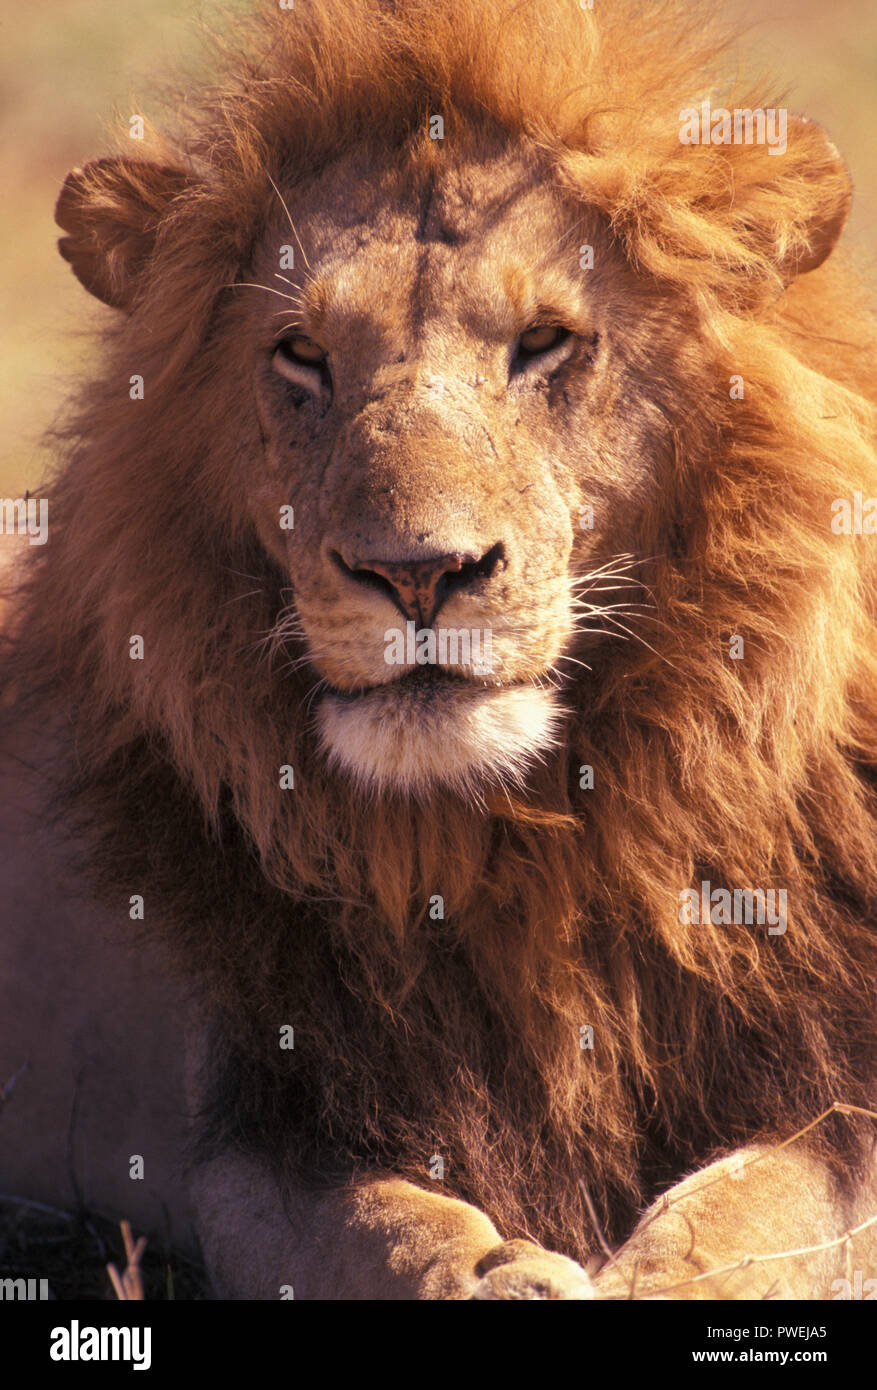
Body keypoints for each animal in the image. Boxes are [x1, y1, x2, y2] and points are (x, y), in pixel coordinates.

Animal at [1, 0, 875, 1301]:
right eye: (302, 353)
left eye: (546, 342)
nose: (417, 573)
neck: (518, 842)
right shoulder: (259, 1124)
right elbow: (378, 1231)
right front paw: (501, 1273)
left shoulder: (830, 1073)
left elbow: (762, 1212)